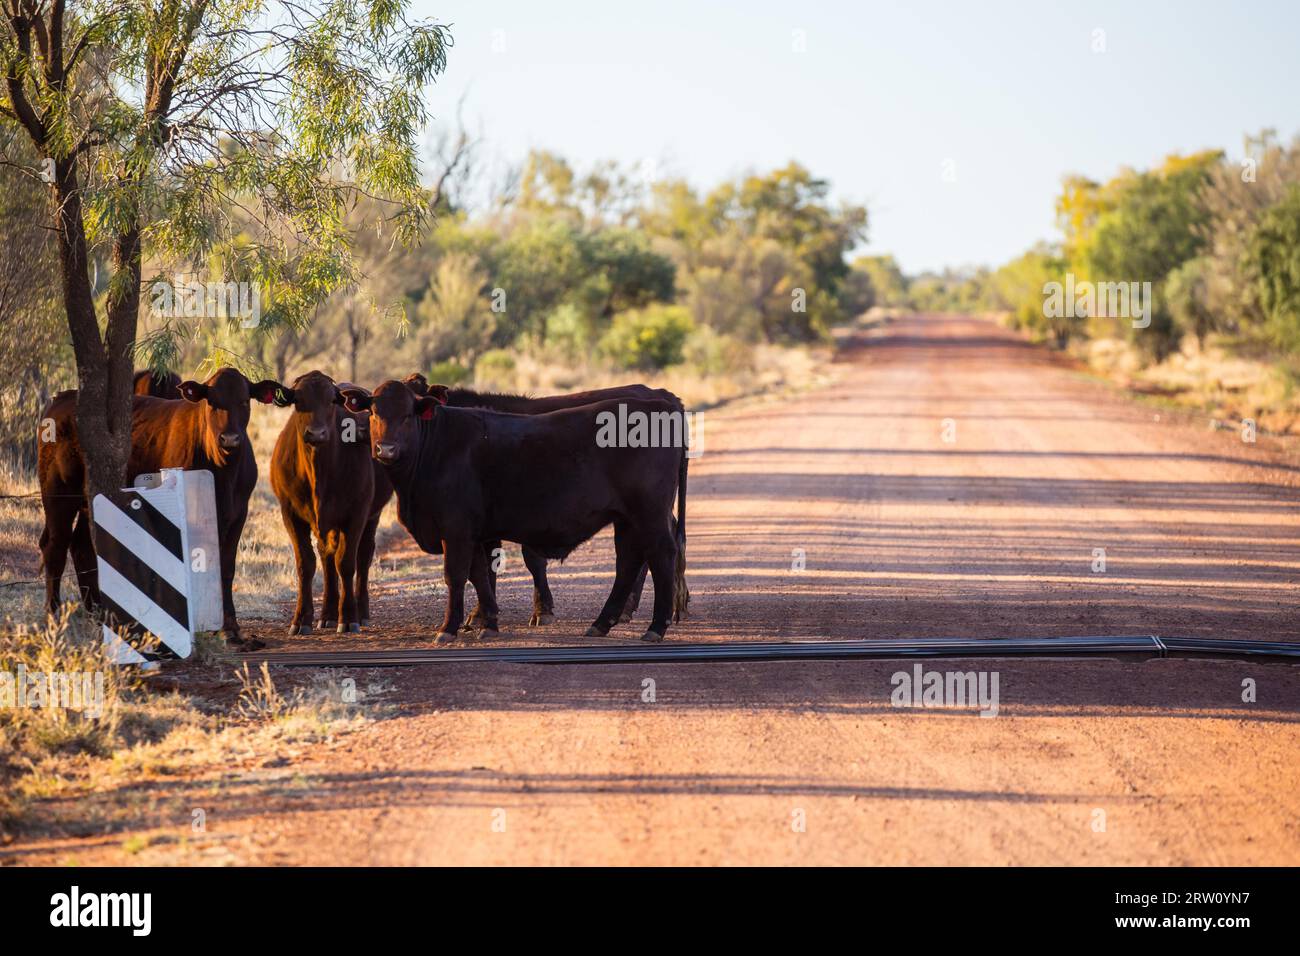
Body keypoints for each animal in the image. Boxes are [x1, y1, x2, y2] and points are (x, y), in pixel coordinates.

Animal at [38, 368, 289, 642]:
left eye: (244, 401)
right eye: (211, 401)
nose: (230, 438)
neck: (221, 471)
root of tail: (63, 398)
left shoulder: (238, 513)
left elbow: (226, 567)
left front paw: (230, 627)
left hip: (89, 499)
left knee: (82, 546)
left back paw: (97, 613)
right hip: (58, 494)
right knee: (55, 546)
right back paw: (52, 615)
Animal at [270, 371, 393, 635]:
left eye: (330, 402)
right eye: (298, 401)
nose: (316, 434)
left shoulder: (356, 514)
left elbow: (345, 563)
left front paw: (348, 618)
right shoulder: (290, 514)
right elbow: (306, 564)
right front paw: (301, 619)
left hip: (371, 515)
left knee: (362, 556)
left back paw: (361, 612)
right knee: (326, 556)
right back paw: (327, 615)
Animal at [342, 381, 687, 643]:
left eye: (406, 416)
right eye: (373, 413)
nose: (385, 450)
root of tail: (661, 403)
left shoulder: (455, 530)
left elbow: (456, 575)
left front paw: (449, 627)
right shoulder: (475, 532)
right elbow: (480, 574)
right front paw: (487, 622)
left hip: (649, 514)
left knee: (661, 554)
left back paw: (656, 626)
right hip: (627, 518)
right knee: (629, 561)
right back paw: (602, 623)